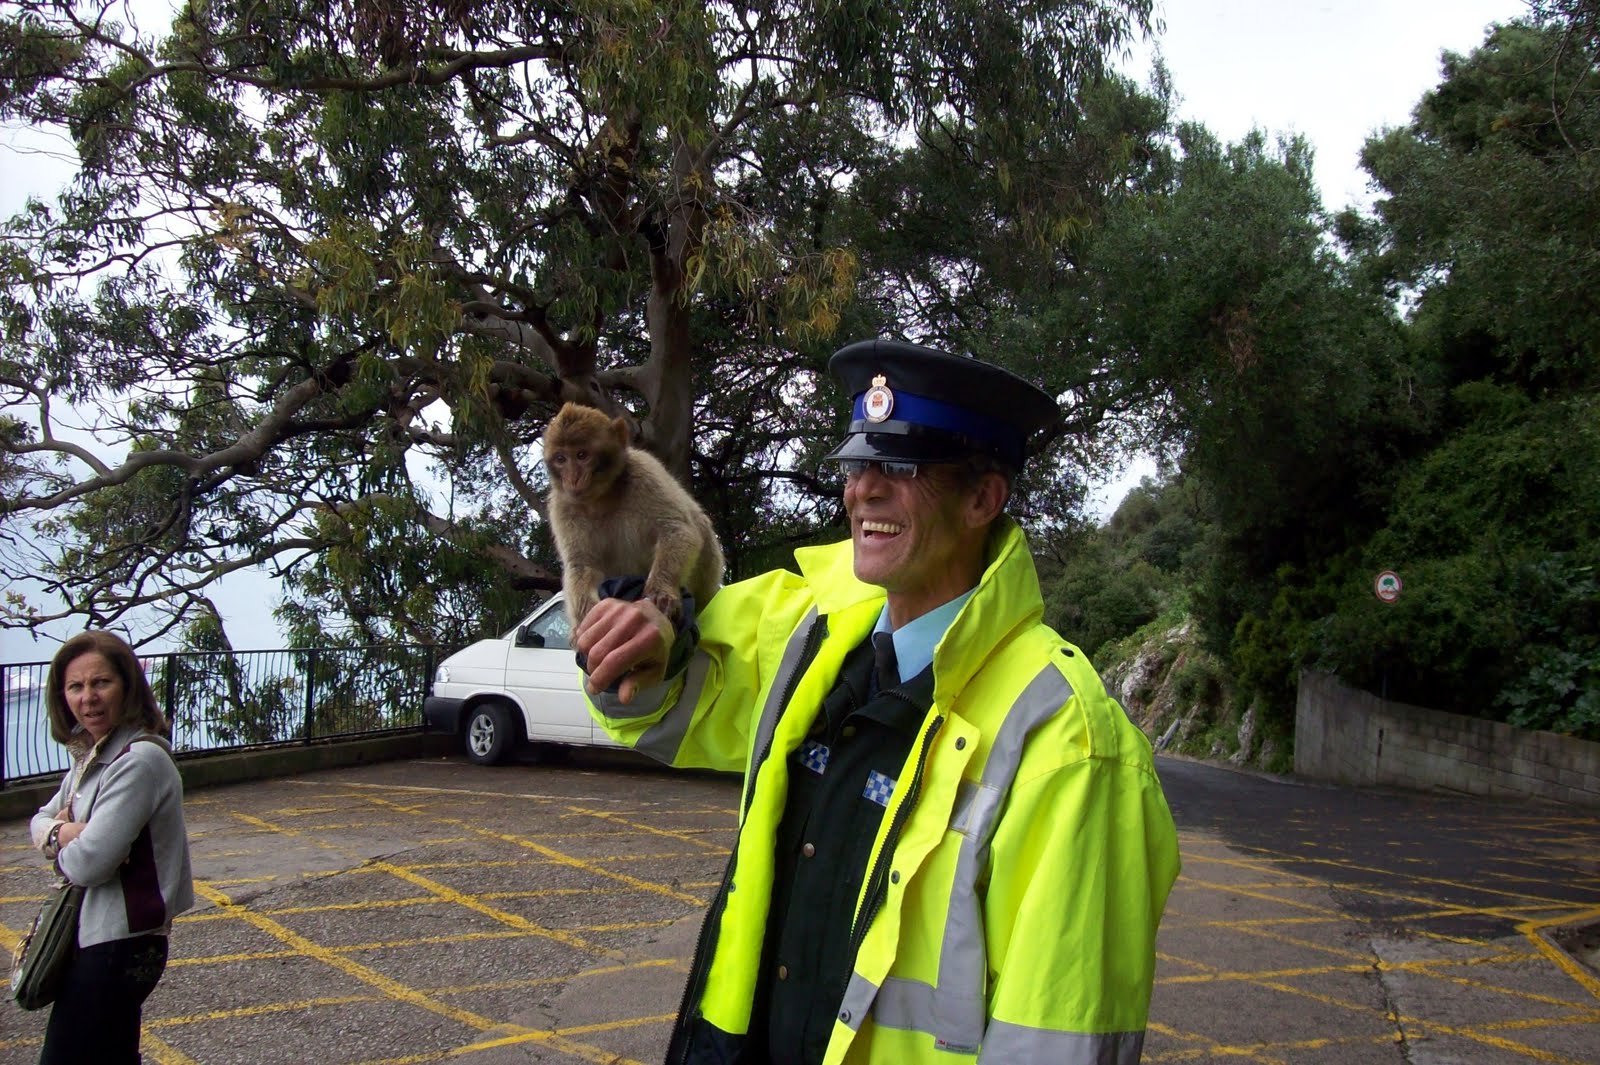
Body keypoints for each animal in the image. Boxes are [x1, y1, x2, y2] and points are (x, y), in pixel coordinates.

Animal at [542, 402, 724, 628]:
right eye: (561, 459)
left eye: (581, 455)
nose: (572, 479)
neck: (602, 497)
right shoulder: (562, 506)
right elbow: (581, 564)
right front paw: (587, 618)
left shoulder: (644, 470)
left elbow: (676, 529)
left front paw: (660, 592)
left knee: (698, 522)